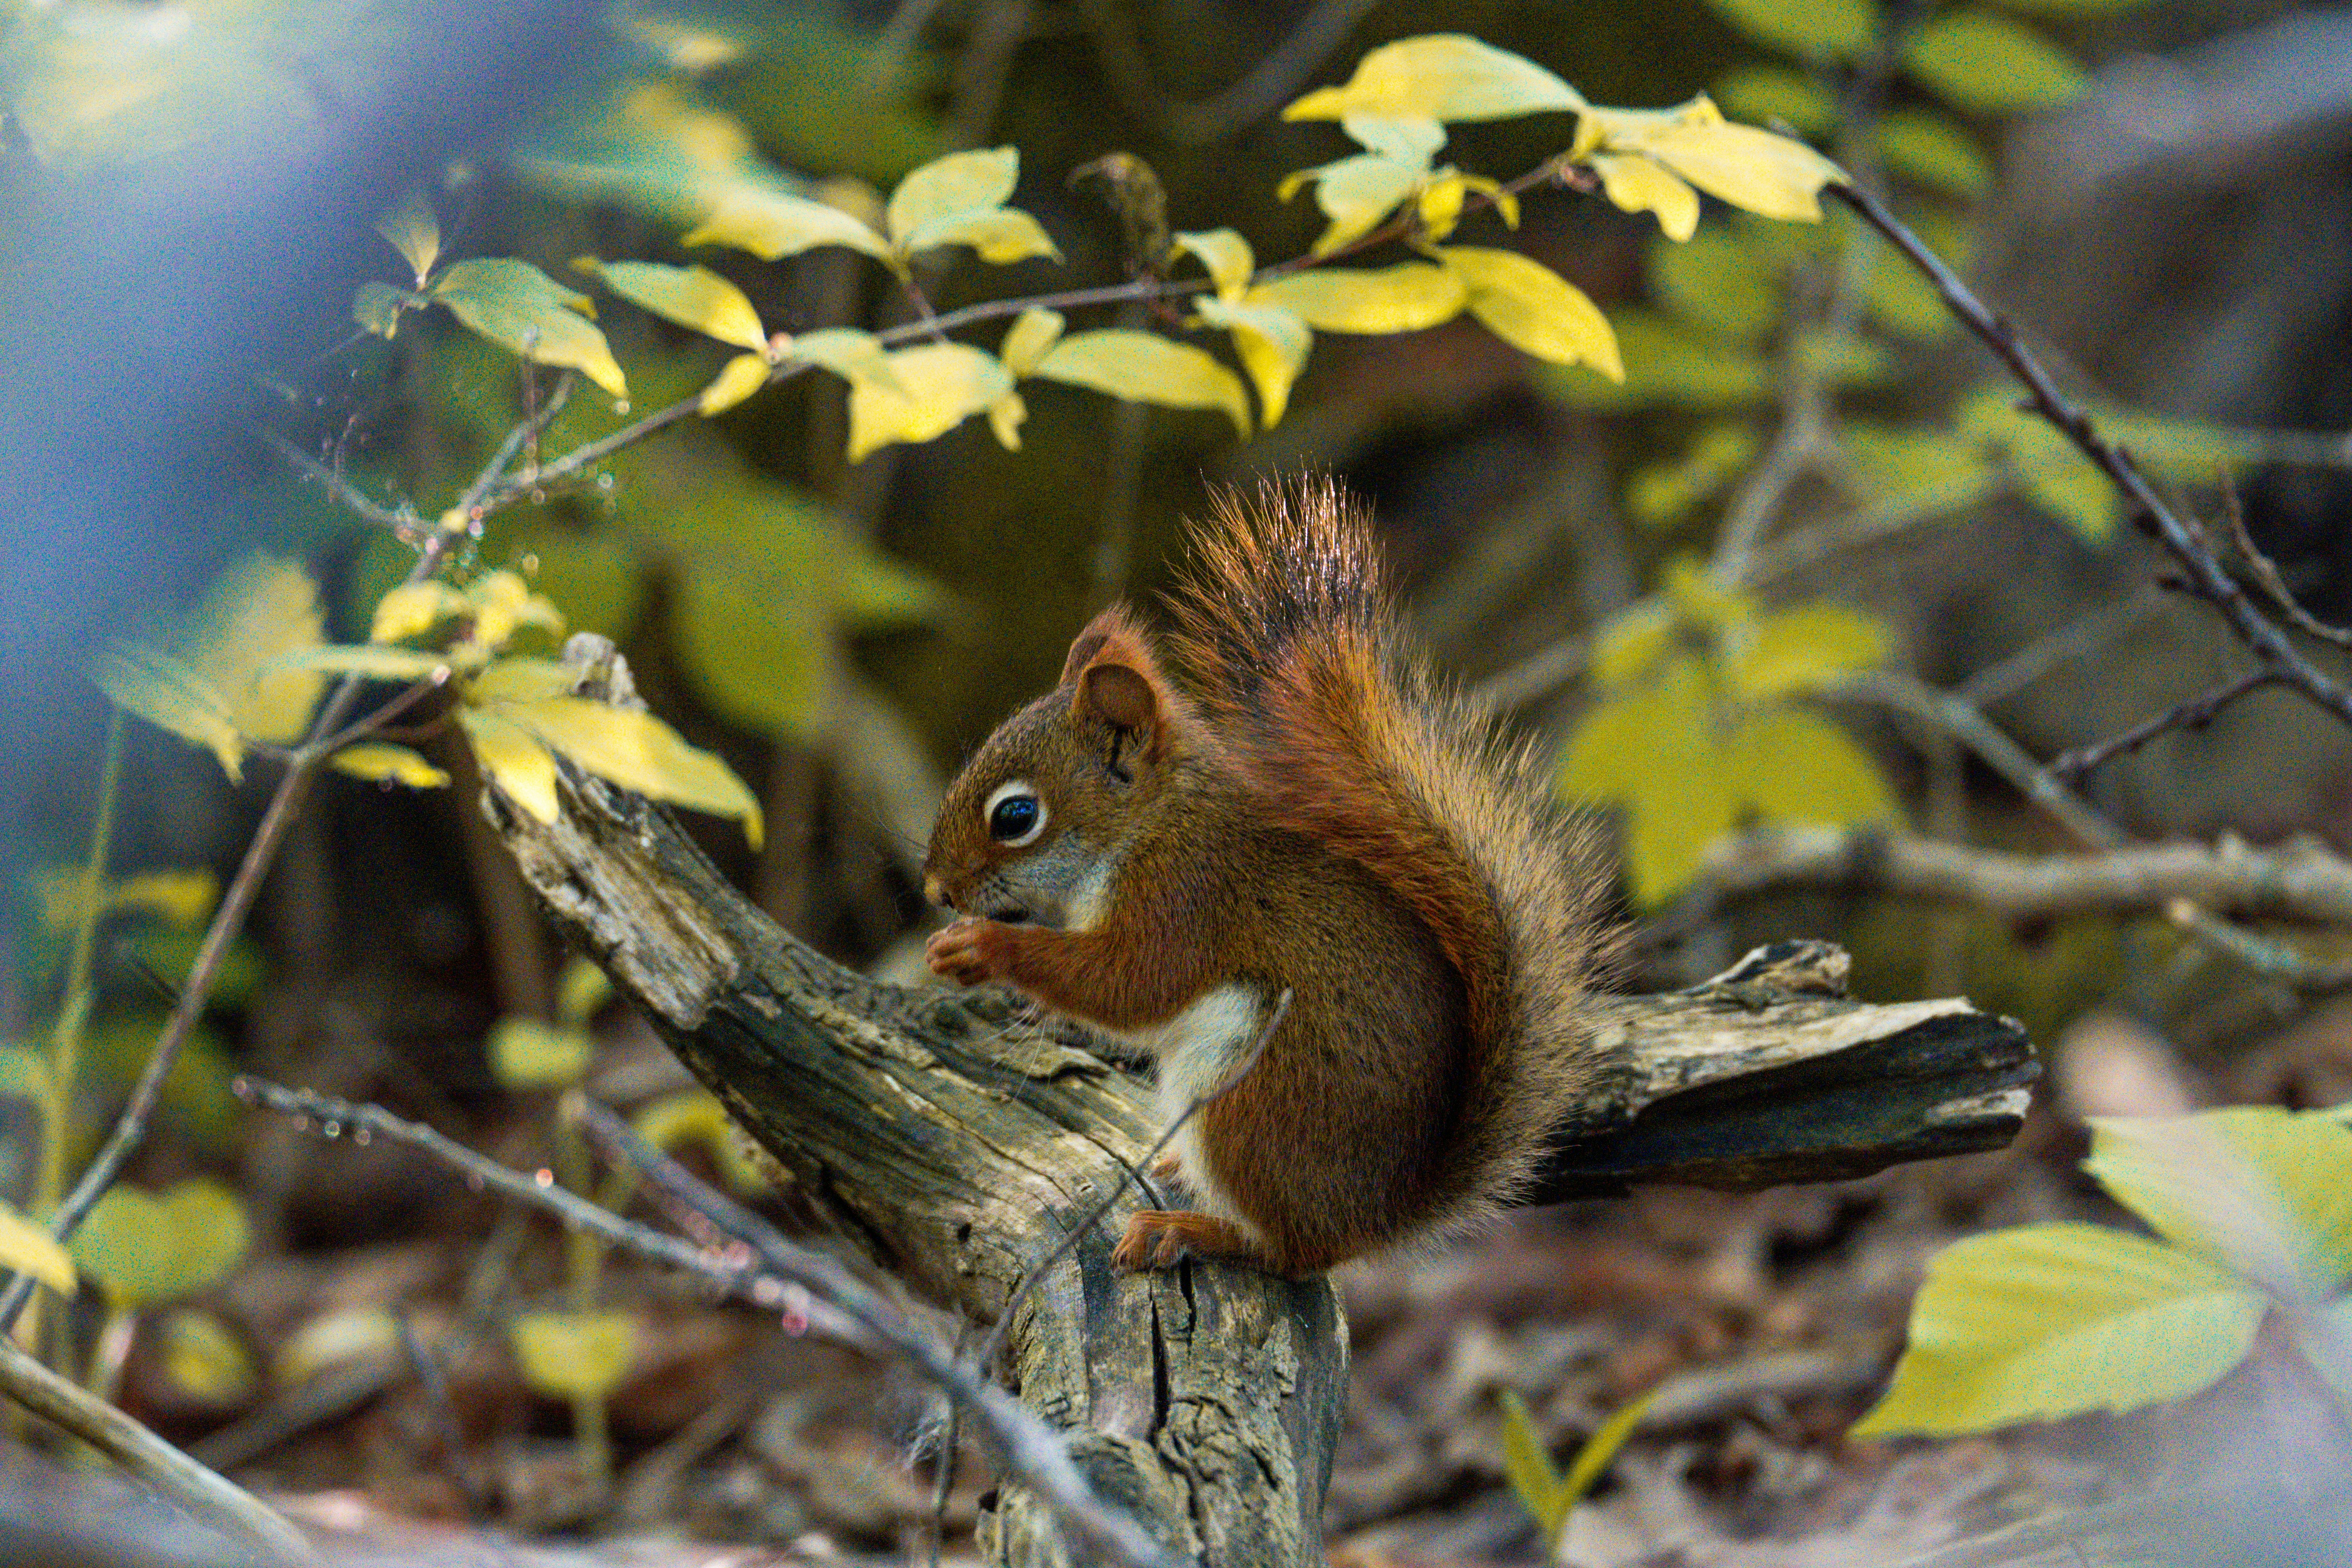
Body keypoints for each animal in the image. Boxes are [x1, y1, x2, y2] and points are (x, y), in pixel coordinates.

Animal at [921, 478, 1615, 1277]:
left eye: (1016, 816)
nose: (936, 890)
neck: (1151, 822)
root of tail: (1379, 1217)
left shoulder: (1186, 894)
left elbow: (1129, 983)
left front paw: (981, 949)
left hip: (1248, 1094)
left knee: (1291, 1251)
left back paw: (1188, 1228)